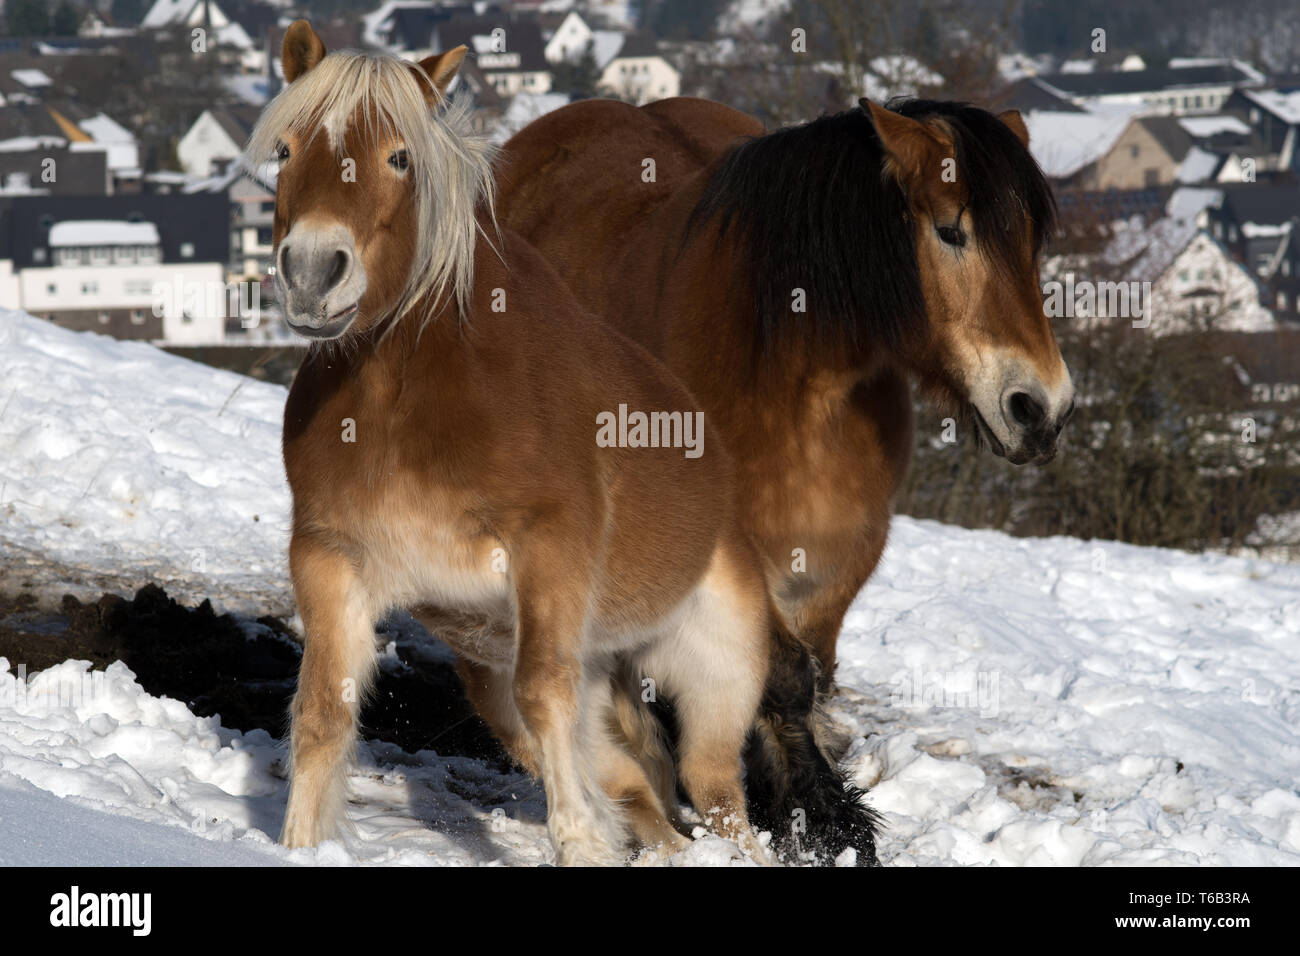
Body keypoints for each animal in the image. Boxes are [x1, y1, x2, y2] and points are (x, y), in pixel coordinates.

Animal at [250, 21, 878, 866]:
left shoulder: (548, 556)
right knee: (640, 790)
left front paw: (576, 844)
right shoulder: (330, 561)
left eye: (399, 157)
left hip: (716, 681)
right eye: (286, 150)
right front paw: (300, 843)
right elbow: (321, 713)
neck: (408, 398)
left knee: (716, 798)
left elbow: (544, 692)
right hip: (542, 683)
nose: (315, 273)